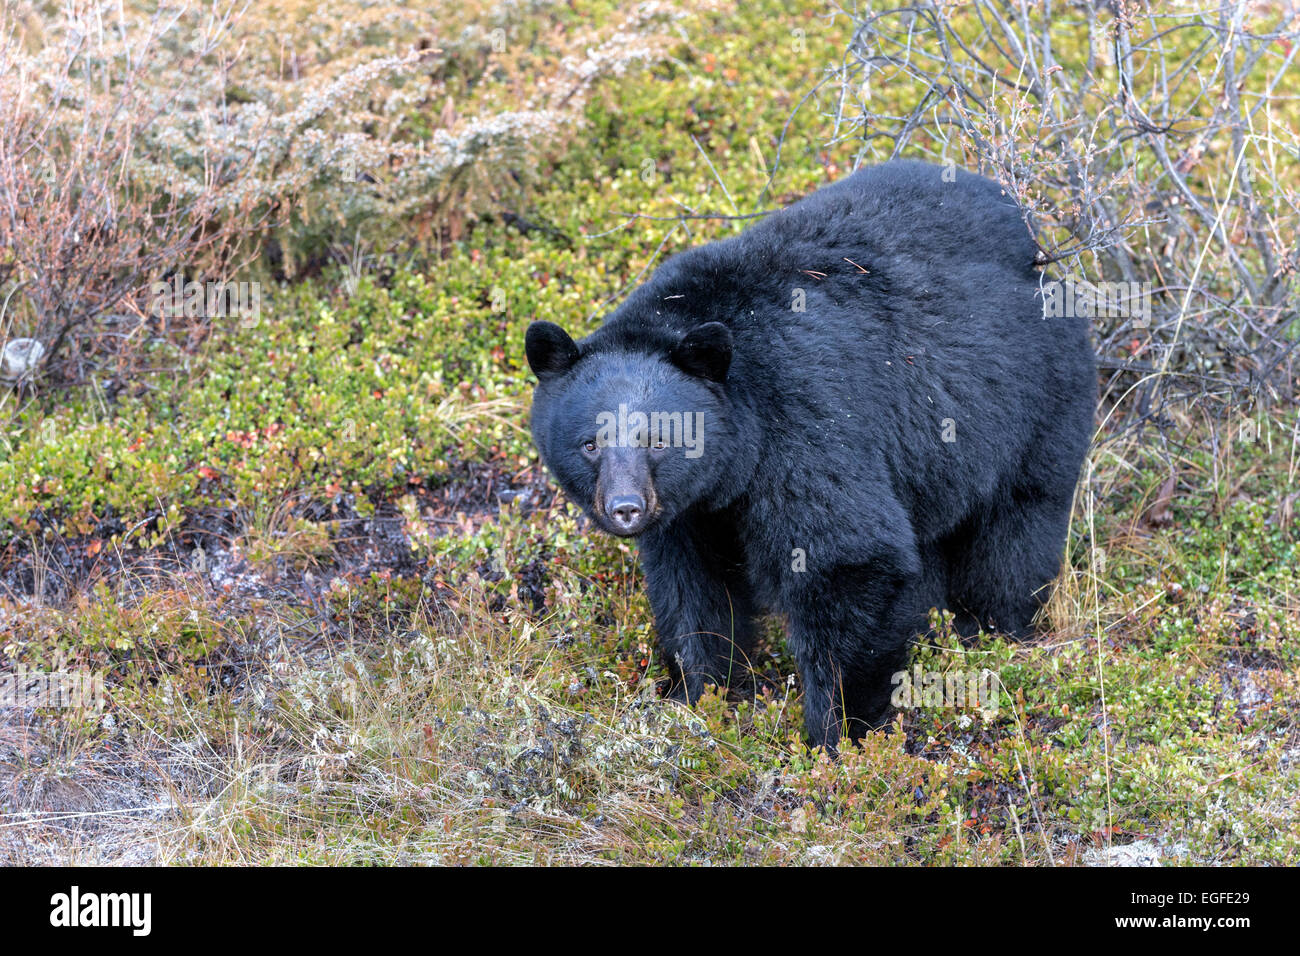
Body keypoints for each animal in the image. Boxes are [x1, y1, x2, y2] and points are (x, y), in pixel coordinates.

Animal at [525, 159, 1095, 752]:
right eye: (590, 443)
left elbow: (848, 559)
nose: (625, 509)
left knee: (1013, 532)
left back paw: (994, 630)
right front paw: (697, 697)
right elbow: (693, 589)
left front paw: (835, 734)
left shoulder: (804, 420)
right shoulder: (691, 513)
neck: (736, 459)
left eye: (660, 439)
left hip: (1032, 401)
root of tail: (1034, 238)